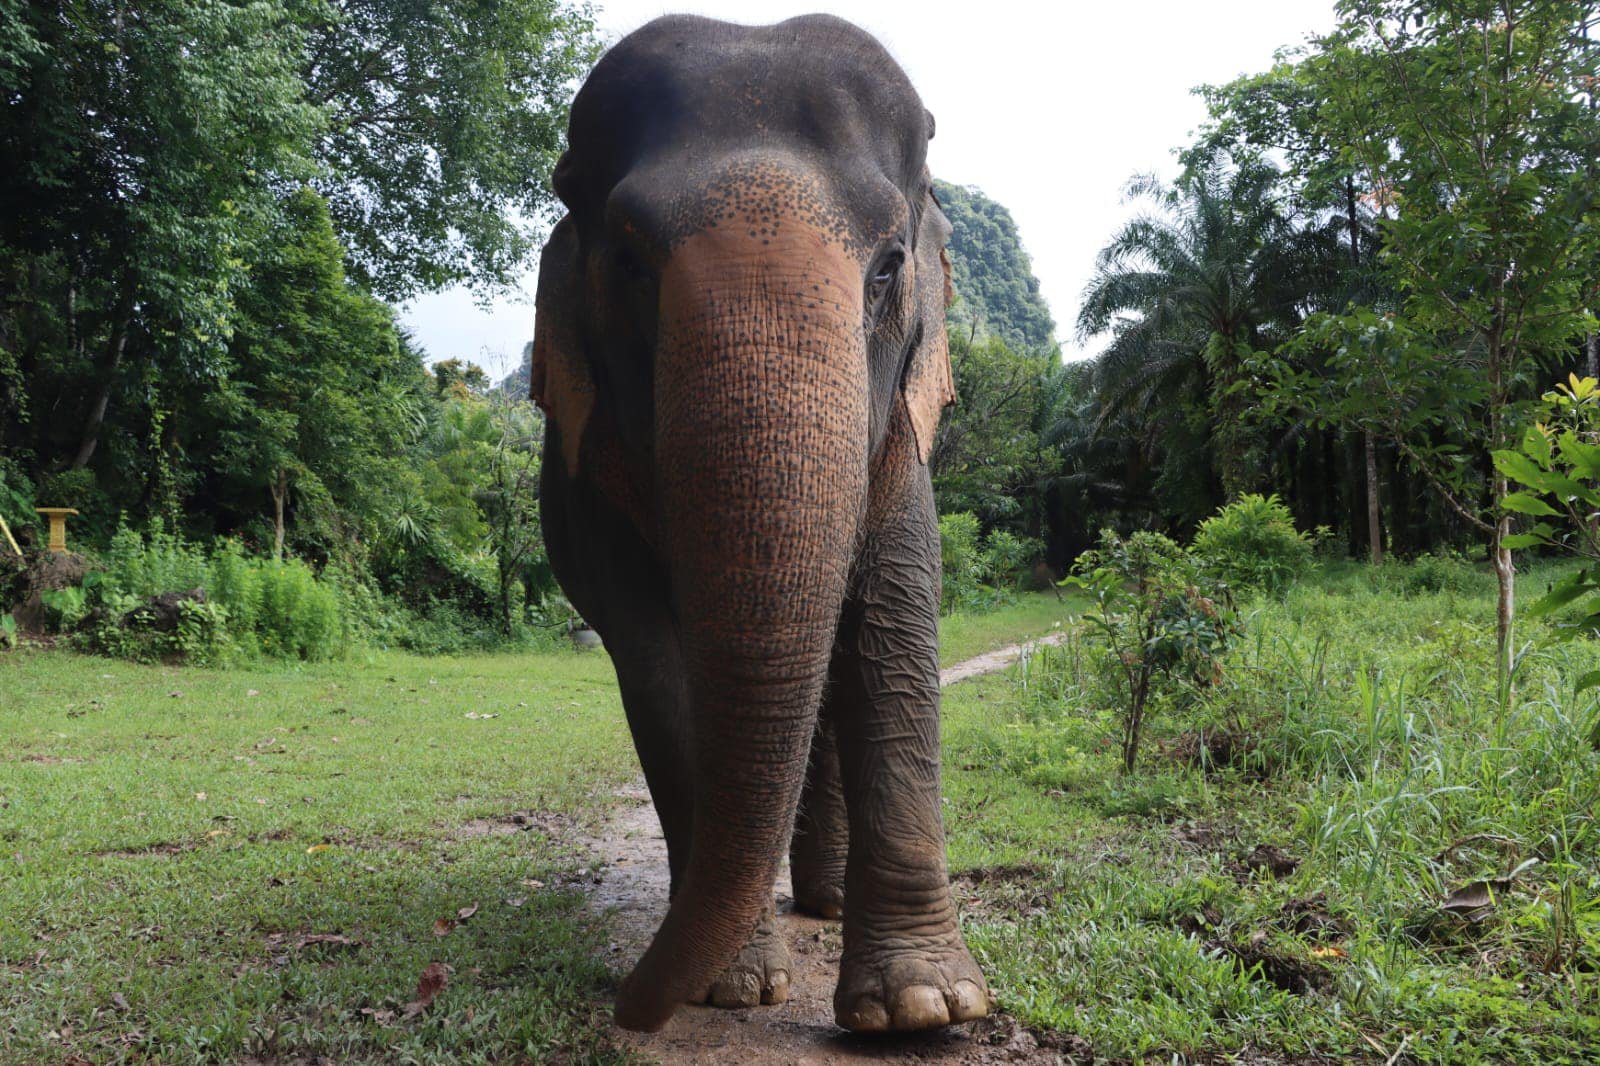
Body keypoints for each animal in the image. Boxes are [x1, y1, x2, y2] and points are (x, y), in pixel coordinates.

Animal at [531, 14, 989, 1035]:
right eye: (629, 263)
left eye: (889, 267)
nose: (624, 1007)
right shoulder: (595, 474)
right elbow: (655, 665)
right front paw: (736, 985)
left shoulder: (901, 430)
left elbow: (893, 622)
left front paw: (926, 1007)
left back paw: (825, 900)